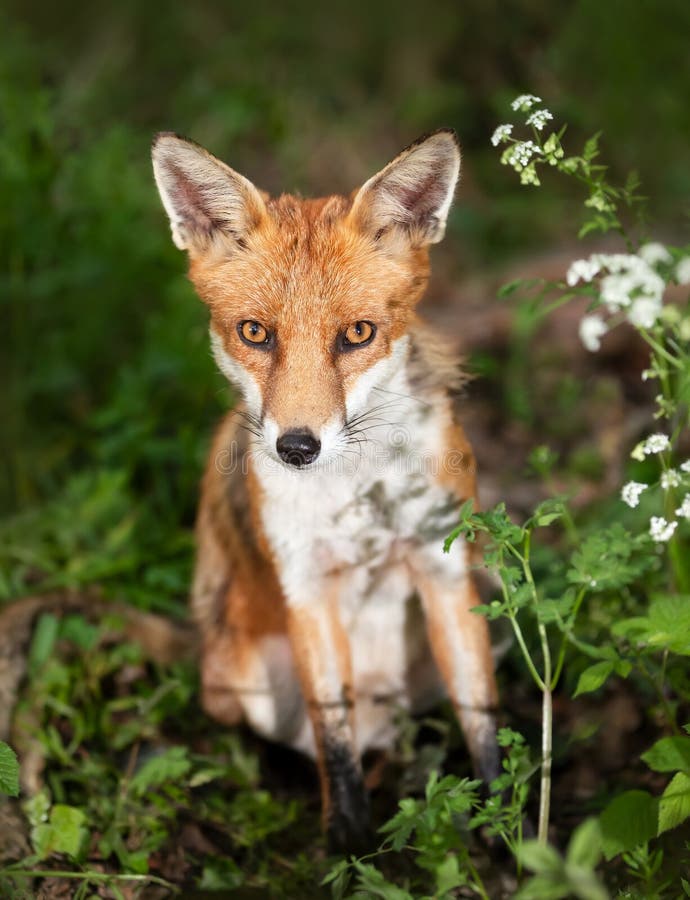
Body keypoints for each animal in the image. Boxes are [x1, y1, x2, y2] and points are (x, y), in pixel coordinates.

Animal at [151, 128, 500, 852]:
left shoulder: (446, 570)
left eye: (357, 334)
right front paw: (347, 841)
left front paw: (510, 825)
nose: (296, 448)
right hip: (246, 680)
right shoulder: (305, 588)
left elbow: (480, 716)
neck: (356, 490)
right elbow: (331, 734)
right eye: (255, 333)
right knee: (301, 733)